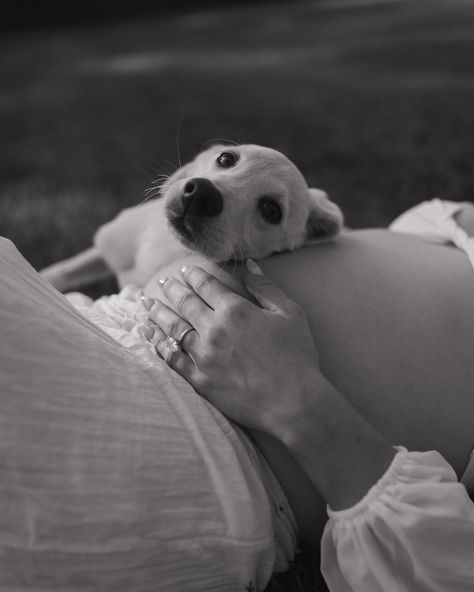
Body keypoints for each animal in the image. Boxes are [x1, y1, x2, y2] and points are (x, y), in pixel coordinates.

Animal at [40, 143, 344, 292]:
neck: (165, 248)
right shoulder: (106, 248)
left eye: (271, 210)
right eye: (226, 159)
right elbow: (64, 270)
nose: (201, 195)